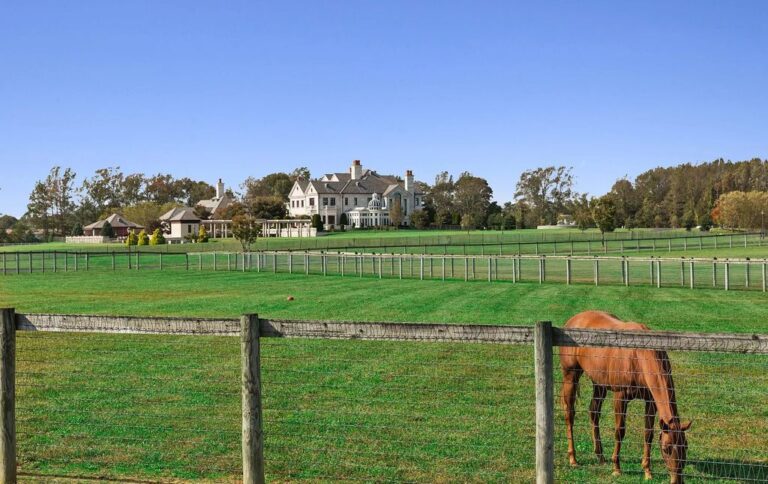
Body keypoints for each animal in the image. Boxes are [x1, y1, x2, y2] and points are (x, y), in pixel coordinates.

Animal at [560, 311, 692, 483]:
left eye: (686, 445)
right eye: (666, 448)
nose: (677, 480)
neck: (638, 356)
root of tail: (574, 319)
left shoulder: (651, 401)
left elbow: (648, 433)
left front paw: (647, 471)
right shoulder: (620, 397)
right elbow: (619, 431)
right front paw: (616, 468)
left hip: (599, 383)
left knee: (594, 412)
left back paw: (600, 456)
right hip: (571, 375)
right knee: (570, 414)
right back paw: (573, 459)